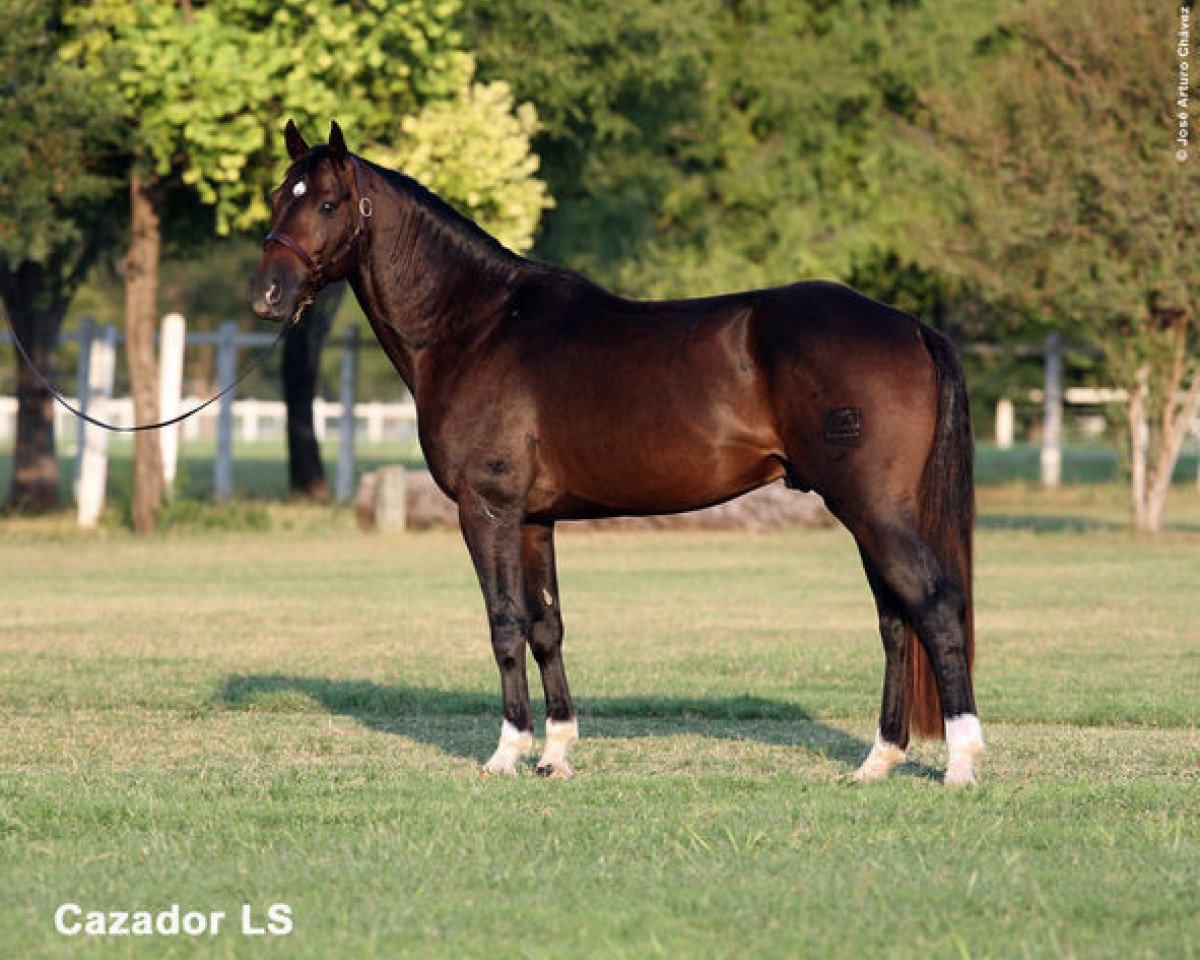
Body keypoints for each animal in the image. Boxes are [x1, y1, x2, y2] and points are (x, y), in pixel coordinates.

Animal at [250, 121, 984, 786]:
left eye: (326, 203)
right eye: (276, 197)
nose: (267, 296)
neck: (476, 326)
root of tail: (911, 326)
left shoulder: (487, 510)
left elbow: (504, 623)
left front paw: (506, 753)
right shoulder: (534, 519)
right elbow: (546, 626)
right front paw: (554, 754)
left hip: (871, 507)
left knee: (934, 605)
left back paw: (961, 763)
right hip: (866, 512)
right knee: (896, 619)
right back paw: (878, 761)